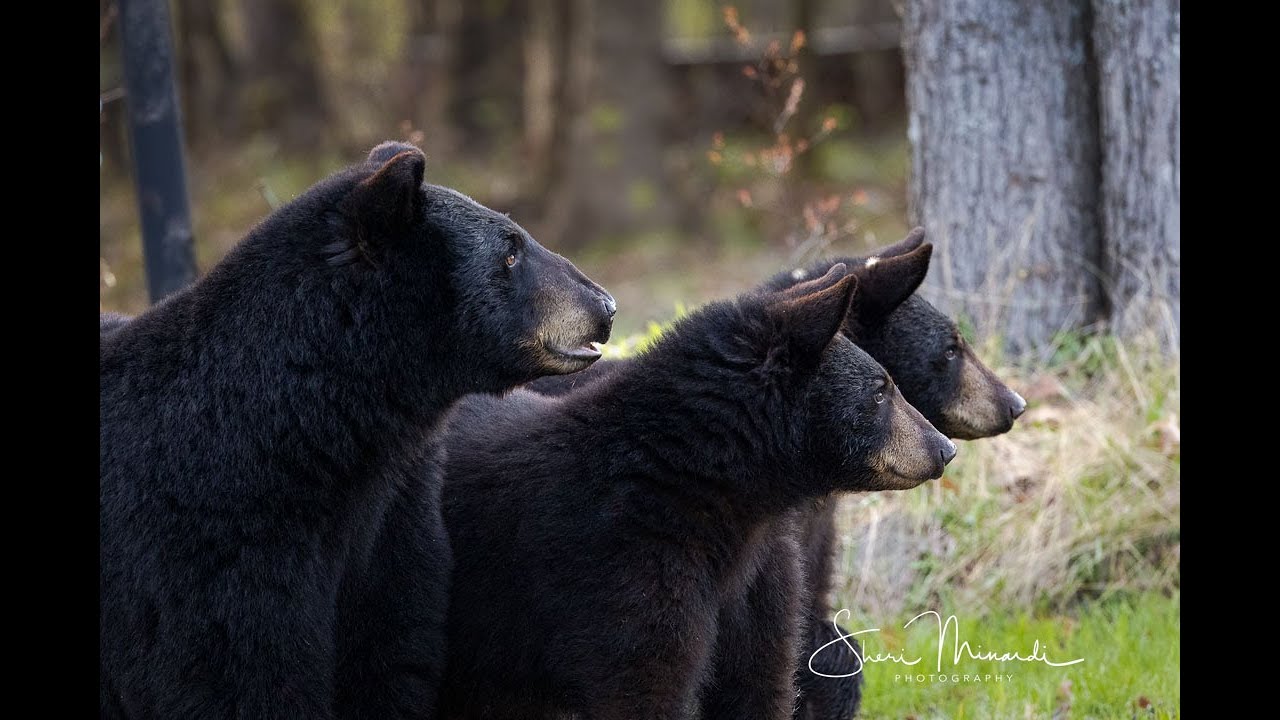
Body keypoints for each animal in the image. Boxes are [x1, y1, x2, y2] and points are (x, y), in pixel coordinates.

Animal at [99, 140, 615, 720]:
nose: (605, 306)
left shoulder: (387, 528)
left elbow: (389, 655)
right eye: (509, 251)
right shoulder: (202, 562)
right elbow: (233, 676)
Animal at [435, 264, 957, 719]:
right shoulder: (625, 569)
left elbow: (761, 680)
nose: (943, 448)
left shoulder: (756, 581)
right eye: (880, 391)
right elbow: (644, 684)